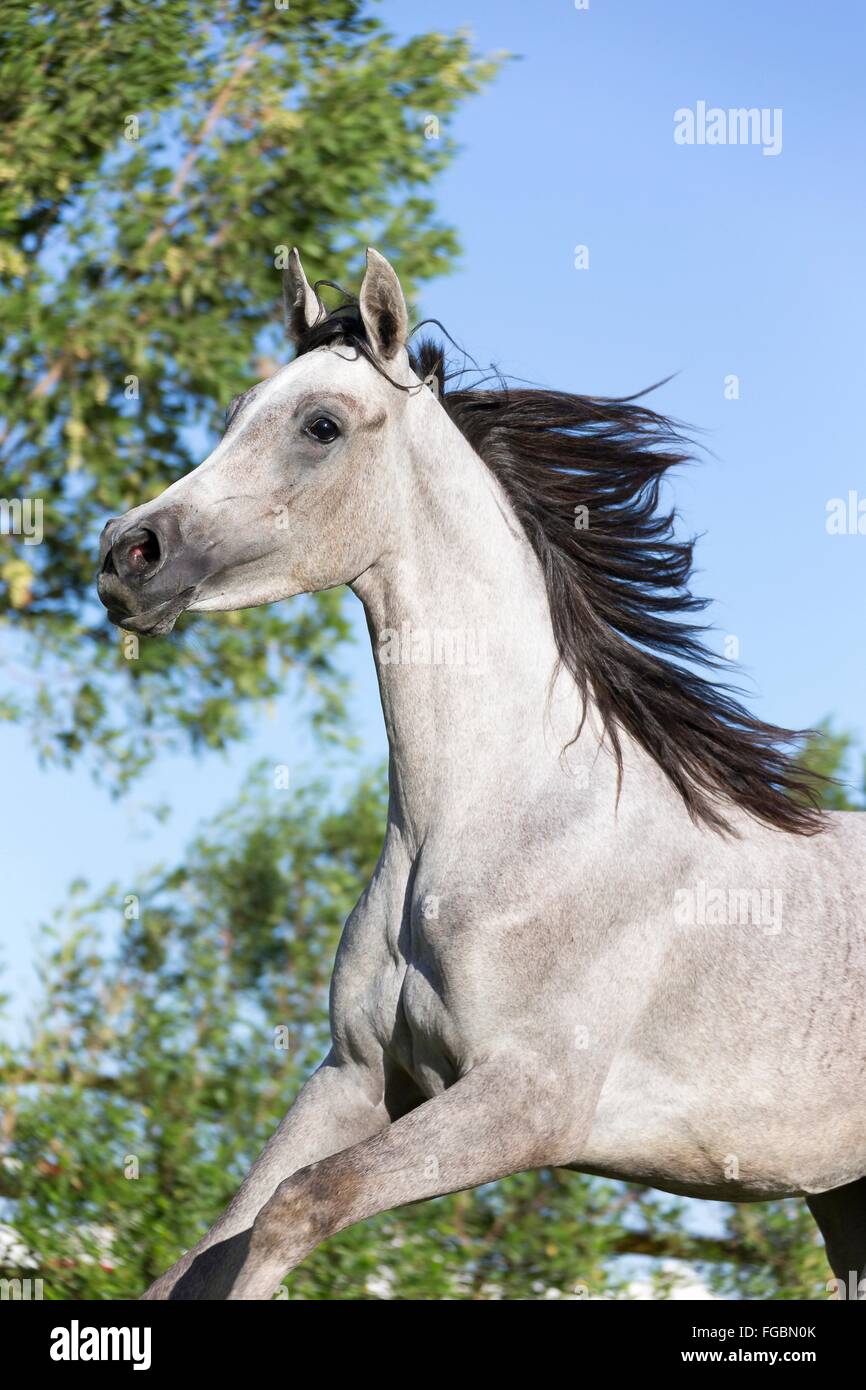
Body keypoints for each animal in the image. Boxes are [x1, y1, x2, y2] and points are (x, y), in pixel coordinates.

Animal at [97, 248, 866, 1301]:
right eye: (237, 409)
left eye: (320, 424)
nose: (126, 553)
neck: (496, 824)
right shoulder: (352, 1078)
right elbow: (200, 1255)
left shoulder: (524, 1103)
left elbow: (298, 1207)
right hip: (847, 1196)